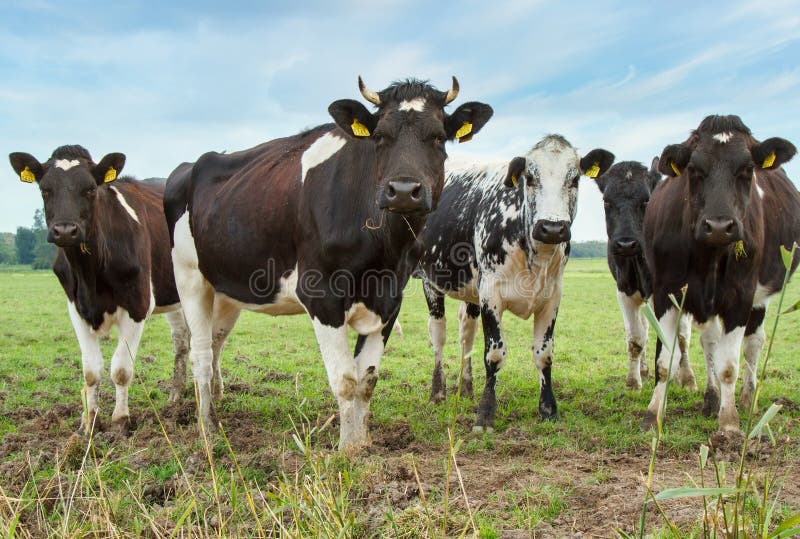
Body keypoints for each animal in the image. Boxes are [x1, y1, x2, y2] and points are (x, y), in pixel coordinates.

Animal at [8, 145, 190, 435]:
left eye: (90, 189)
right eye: (45, 189)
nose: (65, 230)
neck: (90, 273)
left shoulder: (138, 305)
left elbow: (121, 369)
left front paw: (120, 421)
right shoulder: (76, 307)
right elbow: (91, 370)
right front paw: (89, 422)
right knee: (183, 341)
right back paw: (175, 397)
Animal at [163, 77, 493, 451]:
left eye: (438, 137)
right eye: (380, 136)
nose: (403, 190)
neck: (381, 252)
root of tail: (191, 165)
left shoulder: (391, 298)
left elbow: (367, 379)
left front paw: (362, 444)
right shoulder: (321, 295)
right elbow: (346, 380)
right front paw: (346, 451)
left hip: (226, 287)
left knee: (216, 341)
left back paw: (217, 401)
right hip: (189, 277)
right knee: (201, 353)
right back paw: (209, 428)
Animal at [418, 135, 614, 432]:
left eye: (574, 179)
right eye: (529, 178)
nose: (552, 228)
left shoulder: (552, 298)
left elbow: (544, 354)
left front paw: (548, 410)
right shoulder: (491, 295)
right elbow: (494, 354)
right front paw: (485, 414)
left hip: (471, 293)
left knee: (466, 334)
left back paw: (466, 389)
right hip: (432, 283)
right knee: (438, 335)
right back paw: (437, 393)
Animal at [594, 159, 695, 391]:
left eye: (646, 200)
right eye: (606, 201)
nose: (626, 244)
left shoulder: (679, 290)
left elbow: (681, 337)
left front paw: (686, 379)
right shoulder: (625, 291)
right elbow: (636, 339)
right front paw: (633, 381)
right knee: (646, 329)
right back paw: (644, 370)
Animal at [643, 115, 800, 433]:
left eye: (748, 169)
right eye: (694, 169)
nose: (718, 226)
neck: (709, 255)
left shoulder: (740, 298)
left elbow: (729, 366)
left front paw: (729, 423)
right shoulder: (666, 291)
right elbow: (665, 361)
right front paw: (653, 415)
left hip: (757, 299)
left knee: (753, 344)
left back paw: (746, 398)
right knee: (711, 342)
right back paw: (711, 398)